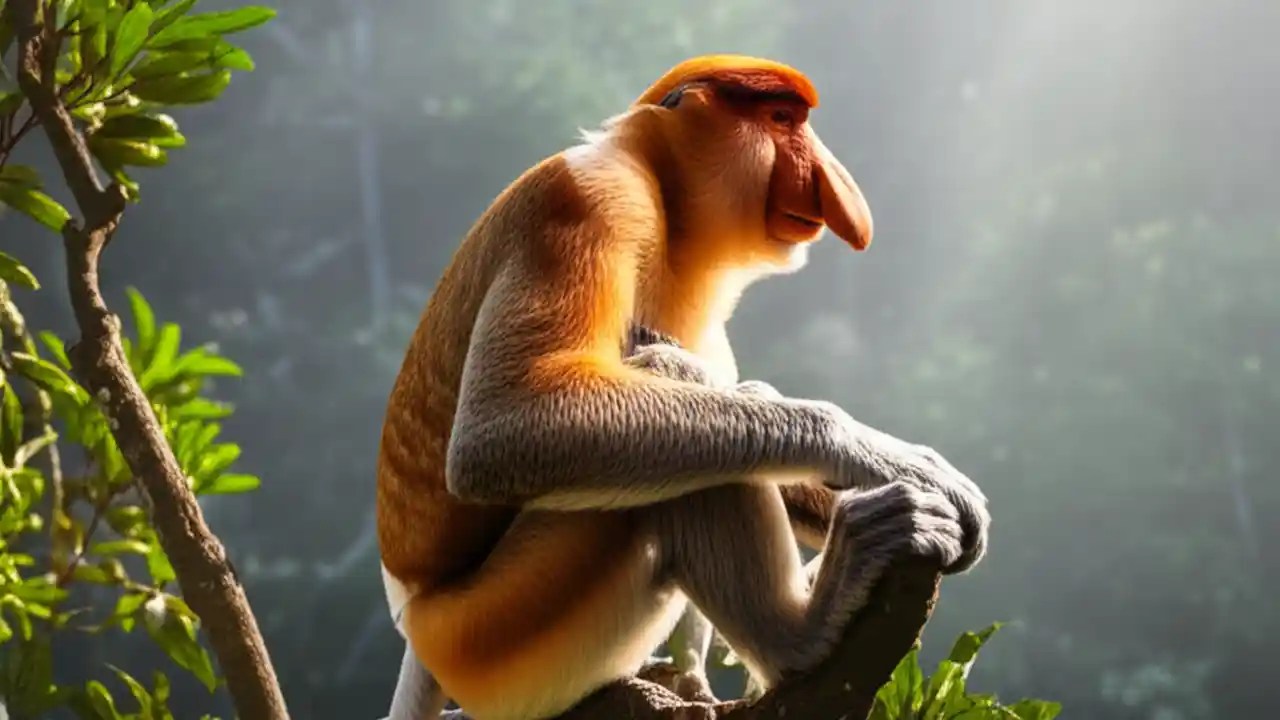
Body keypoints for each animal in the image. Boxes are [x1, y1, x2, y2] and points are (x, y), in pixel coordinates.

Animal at [376, 55, 990, 720]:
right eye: (781, 119)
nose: (836, 187)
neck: (666, 203)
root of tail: (415, 622)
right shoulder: (585, 203)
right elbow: (502, 425)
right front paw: (894, 460)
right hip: (500, 634)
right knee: (688, 449)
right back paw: (805, 630)